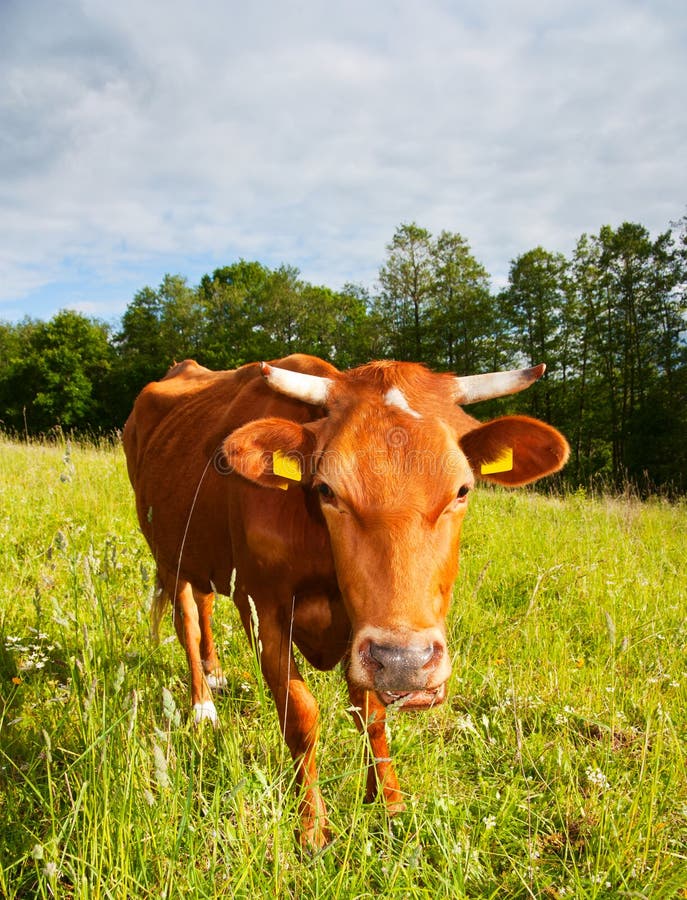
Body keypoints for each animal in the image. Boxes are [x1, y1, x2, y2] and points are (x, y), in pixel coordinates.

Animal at [123, 354, 568, 847]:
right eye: (327, 489)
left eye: (462, 490)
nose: (406, 662)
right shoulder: (262, 607)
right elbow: (301, 715)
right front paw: (312, 827)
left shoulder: (362, 630)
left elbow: (371, 714)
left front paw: (389, 802)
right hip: (168, 552)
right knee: (186, 619)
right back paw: (203, 704)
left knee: (203, 605)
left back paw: (216, 673)